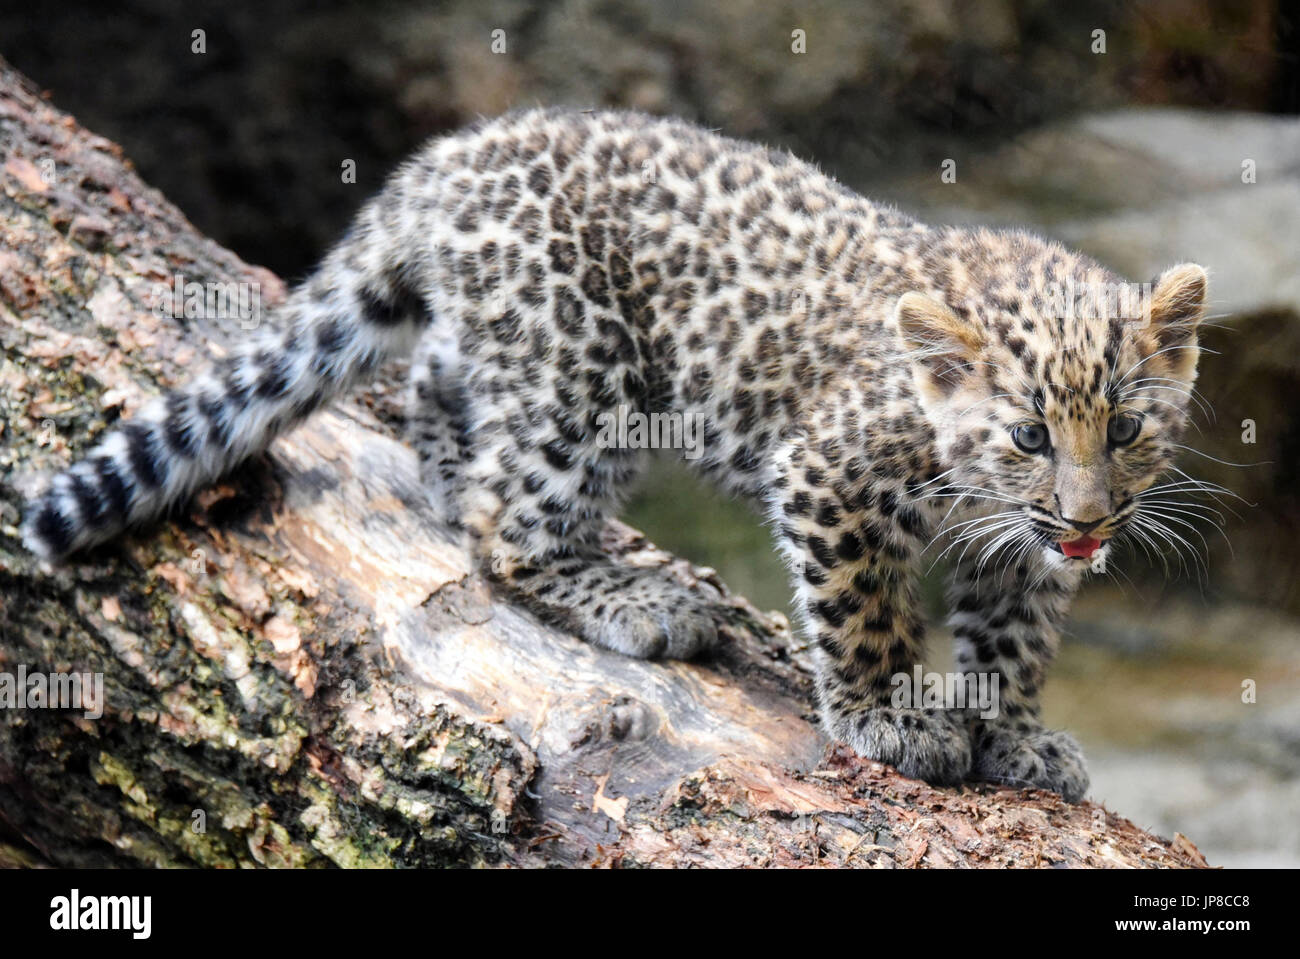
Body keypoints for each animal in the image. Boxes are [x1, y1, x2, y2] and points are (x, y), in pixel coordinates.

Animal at [22, 108, 1212, 802]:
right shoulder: (828, 476)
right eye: (1026, 435)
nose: (1089, 522)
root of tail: (449, 156)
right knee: (507, 523)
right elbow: (864, 613)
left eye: (1126, 429)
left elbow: (1014, 640)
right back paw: (641, 596)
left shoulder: (1020, 555)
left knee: (441, 386)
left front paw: (1017, 736)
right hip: (582, 363)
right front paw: (888, 717)